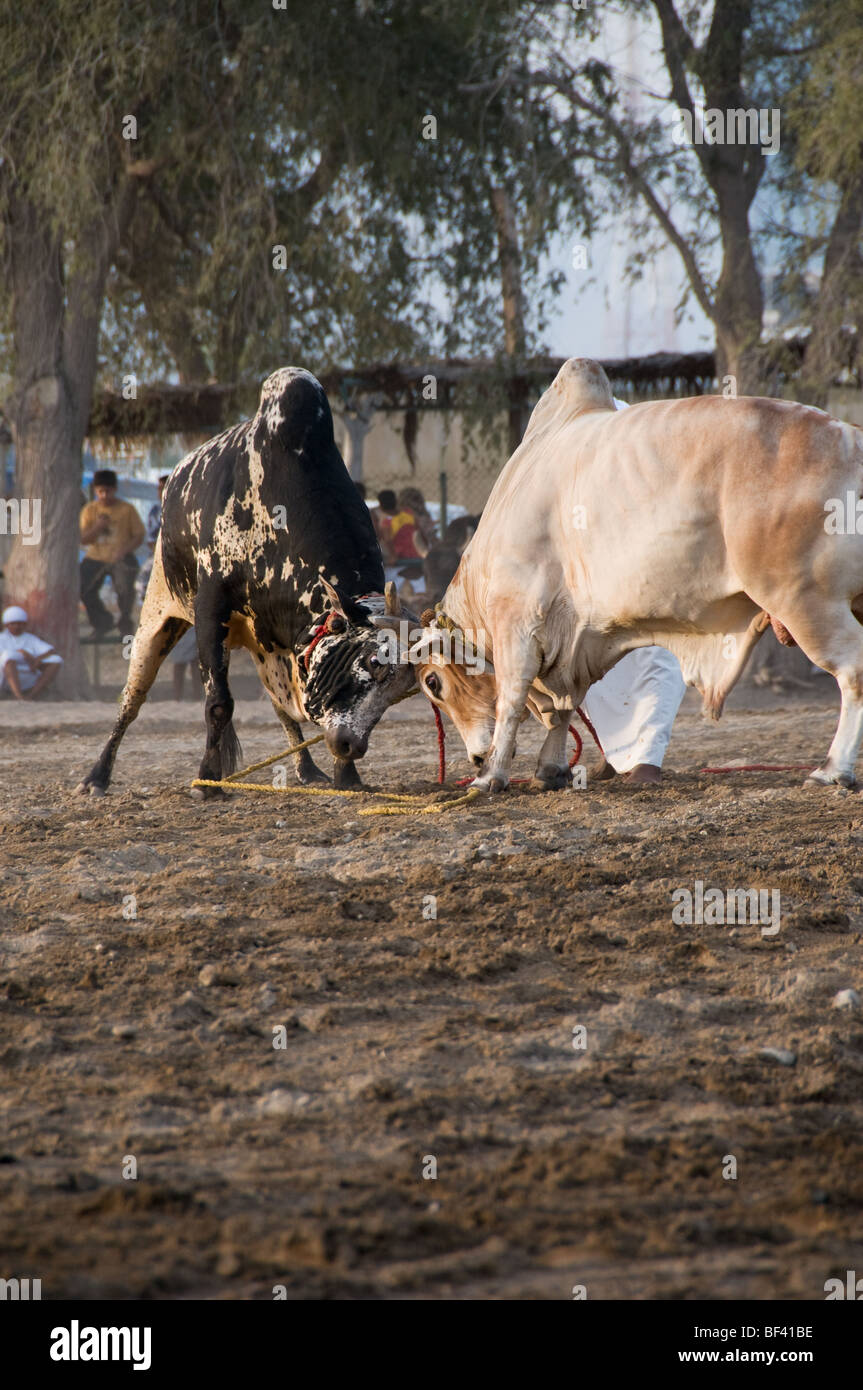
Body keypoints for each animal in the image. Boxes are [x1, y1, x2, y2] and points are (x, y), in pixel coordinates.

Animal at [77, 367, 415, 798]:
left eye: (402, 690)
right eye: (373, 661)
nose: (351, 746)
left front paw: (347, 775)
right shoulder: (211, 609)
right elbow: (219, 703)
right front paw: (206, 781)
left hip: (261, 647)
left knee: (279, 707)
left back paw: (308, 770)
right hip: (158, 614)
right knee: (132, 698)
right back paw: (96, 777)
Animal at [409, 357, 863, 793]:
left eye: (433, 682)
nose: (475, 759)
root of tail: (850, 437)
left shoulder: (517, 622)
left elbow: (512, 698)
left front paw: (491, 776)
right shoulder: (568, 645)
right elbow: (562, 710)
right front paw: (550, 769)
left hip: (805, 601)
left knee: (853, 670)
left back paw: (831, 770)